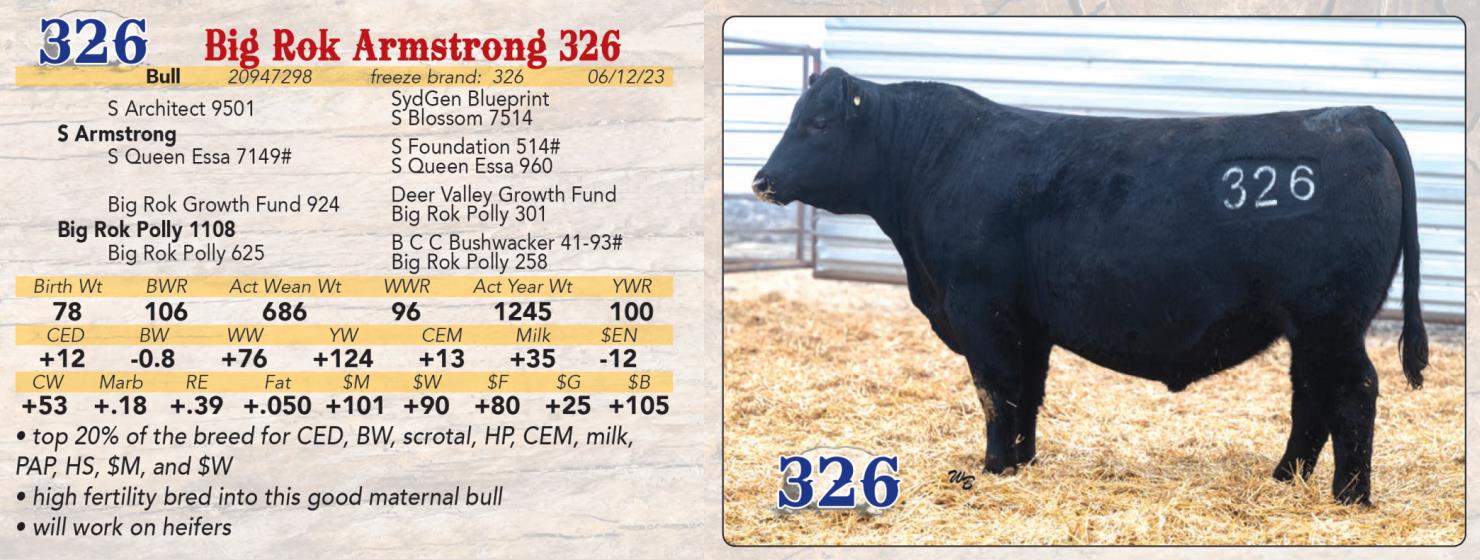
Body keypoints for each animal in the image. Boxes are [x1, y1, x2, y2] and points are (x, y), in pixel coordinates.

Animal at [751, 67, 1428, 505]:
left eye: (817, 123)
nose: (761, 180)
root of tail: (1354, 116)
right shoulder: (1027, 323)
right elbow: (1025, 392)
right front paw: (1020, 463)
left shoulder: (980, 308)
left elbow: (994, 391)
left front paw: (991, 467)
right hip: (1310, 326)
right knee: (1311, 395)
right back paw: (1285, 478)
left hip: (1330, 318)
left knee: (1353, 391)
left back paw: (1350, 497)